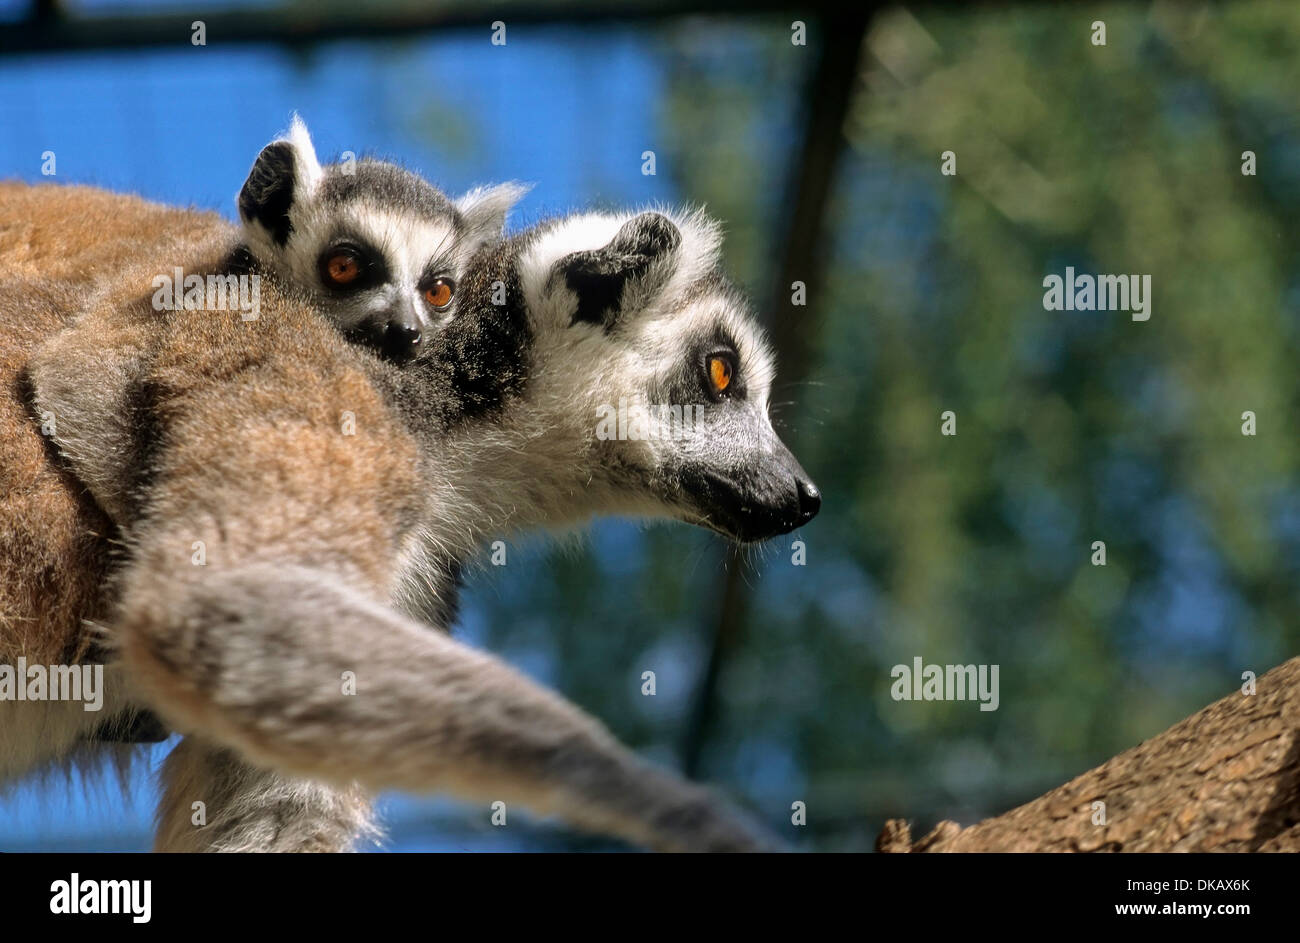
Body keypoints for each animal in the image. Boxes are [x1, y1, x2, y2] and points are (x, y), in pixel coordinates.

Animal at [0, 181, 820, 851]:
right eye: (720, 371)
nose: (801, 494)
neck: (458, 418)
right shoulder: (310, 373)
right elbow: (218, 598)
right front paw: (655, 800)